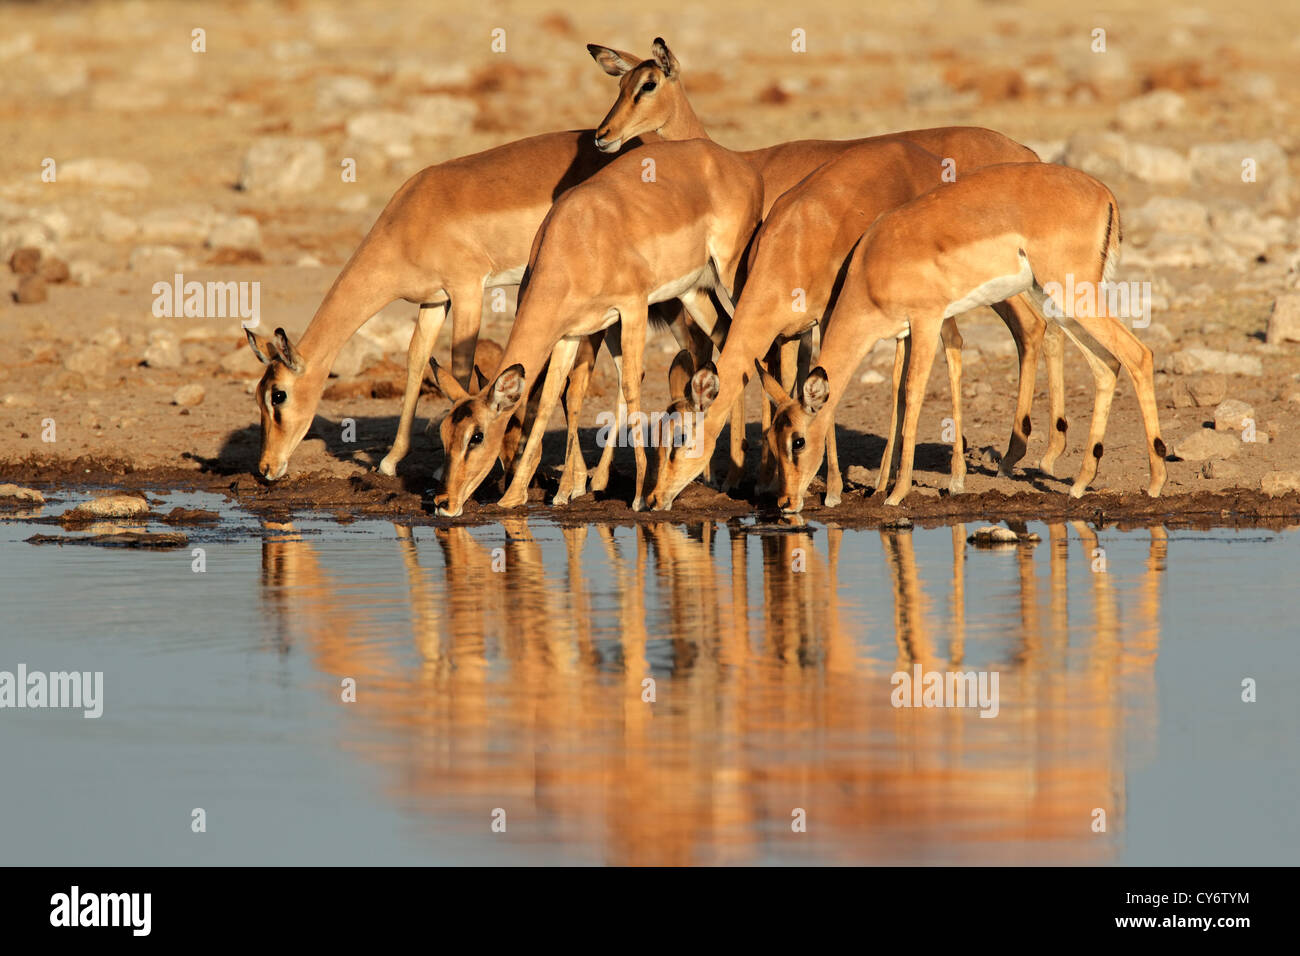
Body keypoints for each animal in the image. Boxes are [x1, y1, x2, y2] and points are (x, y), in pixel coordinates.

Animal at [431, 138, 763, 517]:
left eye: (476, 436)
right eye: (444, 432)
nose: (442, 502)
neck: (576, 242)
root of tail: (734, 159)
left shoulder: (632, 308)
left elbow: (631, 386)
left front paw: (638, 496)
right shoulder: (568, 333)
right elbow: (549, 399)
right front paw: (518, 496)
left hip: (732, 275)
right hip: (693, 292)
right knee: (727, 337)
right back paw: (722, 478)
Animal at [589, 38, 1072, 499]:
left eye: (648, 84)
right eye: (620, 83)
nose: (602, 135)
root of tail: (1026, 153)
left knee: (1014, 333)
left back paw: (998, 464)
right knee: (1020, 332)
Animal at [762, 162, 1167, 511]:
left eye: (798, 440)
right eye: (770, 438)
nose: (784, 502)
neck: (872, 266)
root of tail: (1104, 194)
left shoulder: (926, 321)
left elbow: (913, 392)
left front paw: (897, 493)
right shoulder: (905, 334)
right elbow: (898, 394)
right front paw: (884, 487)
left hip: (1073, 295)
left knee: (1138, 354)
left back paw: (1155, 482)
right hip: (1056, 301)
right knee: (1106, 364)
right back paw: (1080, 484)